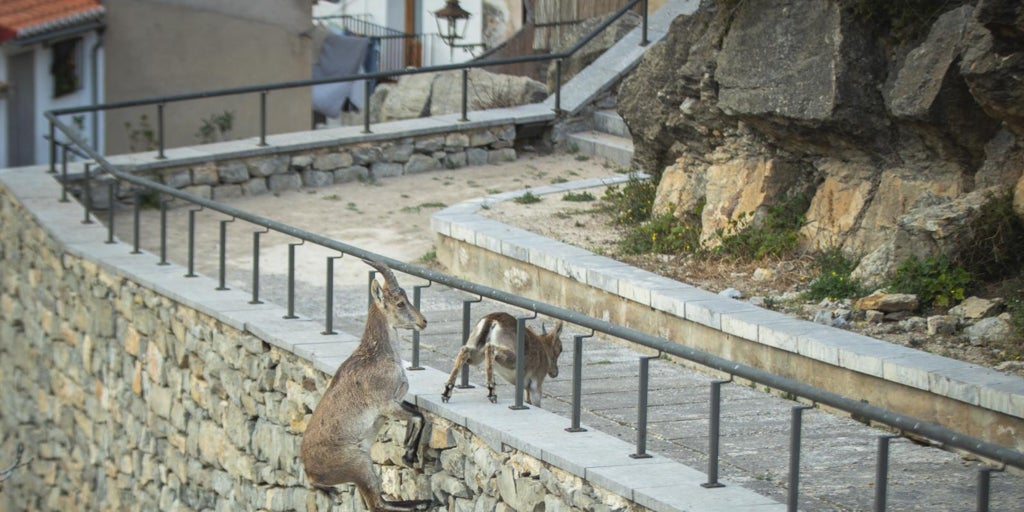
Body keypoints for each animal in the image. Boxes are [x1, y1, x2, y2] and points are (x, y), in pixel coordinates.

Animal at [300, 259, 433, 512]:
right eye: (400, 303)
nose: (423, 321)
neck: (376, 355)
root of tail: (311, 475)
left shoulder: (397, 400)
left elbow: (416, 413)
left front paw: (407, 448)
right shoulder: (386, 404)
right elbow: (419, 416)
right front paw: (409, 455)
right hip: (359, 463)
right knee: (377, 504)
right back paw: (425, 502)